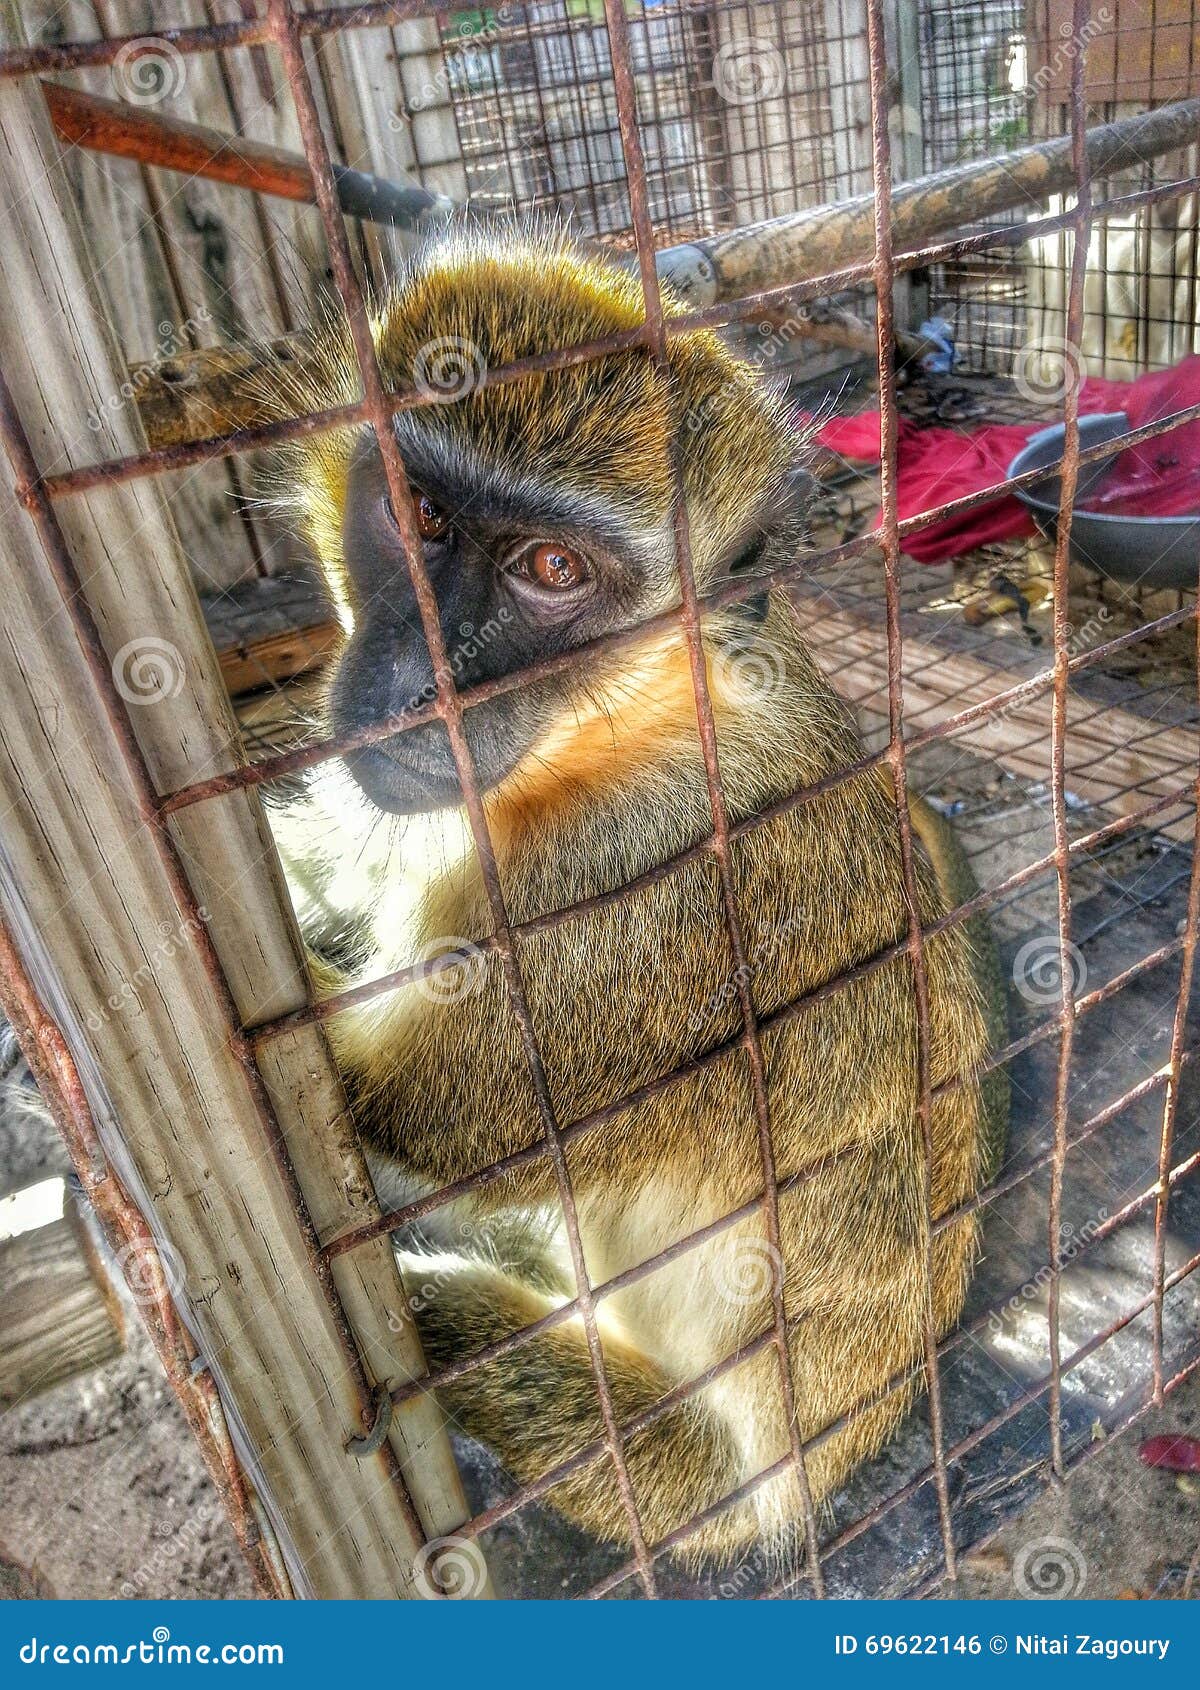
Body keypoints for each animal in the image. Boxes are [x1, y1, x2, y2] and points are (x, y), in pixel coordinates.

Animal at [263, 223, 1008, 1572]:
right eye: (420, 512)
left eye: (553, 569)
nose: (415, 686)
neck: (616, 726)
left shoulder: (637, 881)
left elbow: (393, 1110)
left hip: (675, 1471)